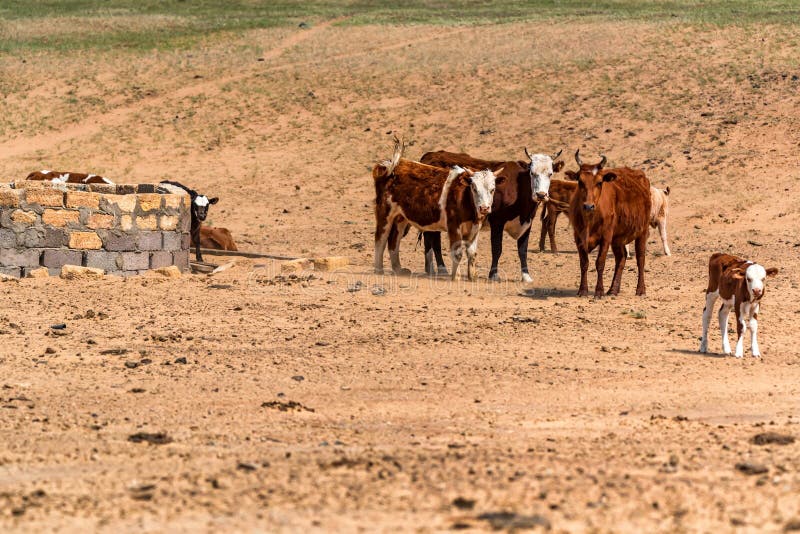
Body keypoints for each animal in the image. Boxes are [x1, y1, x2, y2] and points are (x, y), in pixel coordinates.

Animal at [373, 138, 498, 281]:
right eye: (474, 188)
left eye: (492, 189)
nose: (484, 208)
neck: (465, 198)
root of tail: (390, 167)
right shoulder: (454, 227)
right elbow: (458, 253)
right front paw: (456, 277)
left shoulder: (474, 228)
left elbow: (472, 253)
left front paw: (472, 277)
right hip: (385, 212)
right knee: (381, 238)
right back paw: (379, 269)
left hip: (401, 217)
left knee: (394, 239)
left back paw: (398, 269)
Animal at [419, 148, 564, 282]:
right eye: (532, 173)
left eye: (550, 174)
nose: (541, 195)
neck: (518, 190)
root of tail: (429, 155)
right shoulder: (497, 223)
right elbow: (497, 248)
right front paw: (493, 274)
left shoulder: (527, 223)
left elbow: (523, 250)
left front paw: (526, 276)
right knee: (433, 239)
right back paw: (441, 268)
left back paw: (431, 268)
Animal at [566, 150, 651, 297]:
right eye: (580, 181)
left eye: (599, 182)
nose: (588, 206)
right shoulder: (578, 237)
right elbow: (584, 263)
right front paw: (582, 290)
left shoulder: (606, 236)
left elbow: (600, 262)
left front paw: (599, 291)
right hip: (618, 238)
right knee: (621, 258)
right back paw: (613, 290)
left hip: (642, 231)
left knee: (640, 259)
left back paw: (640, 289)